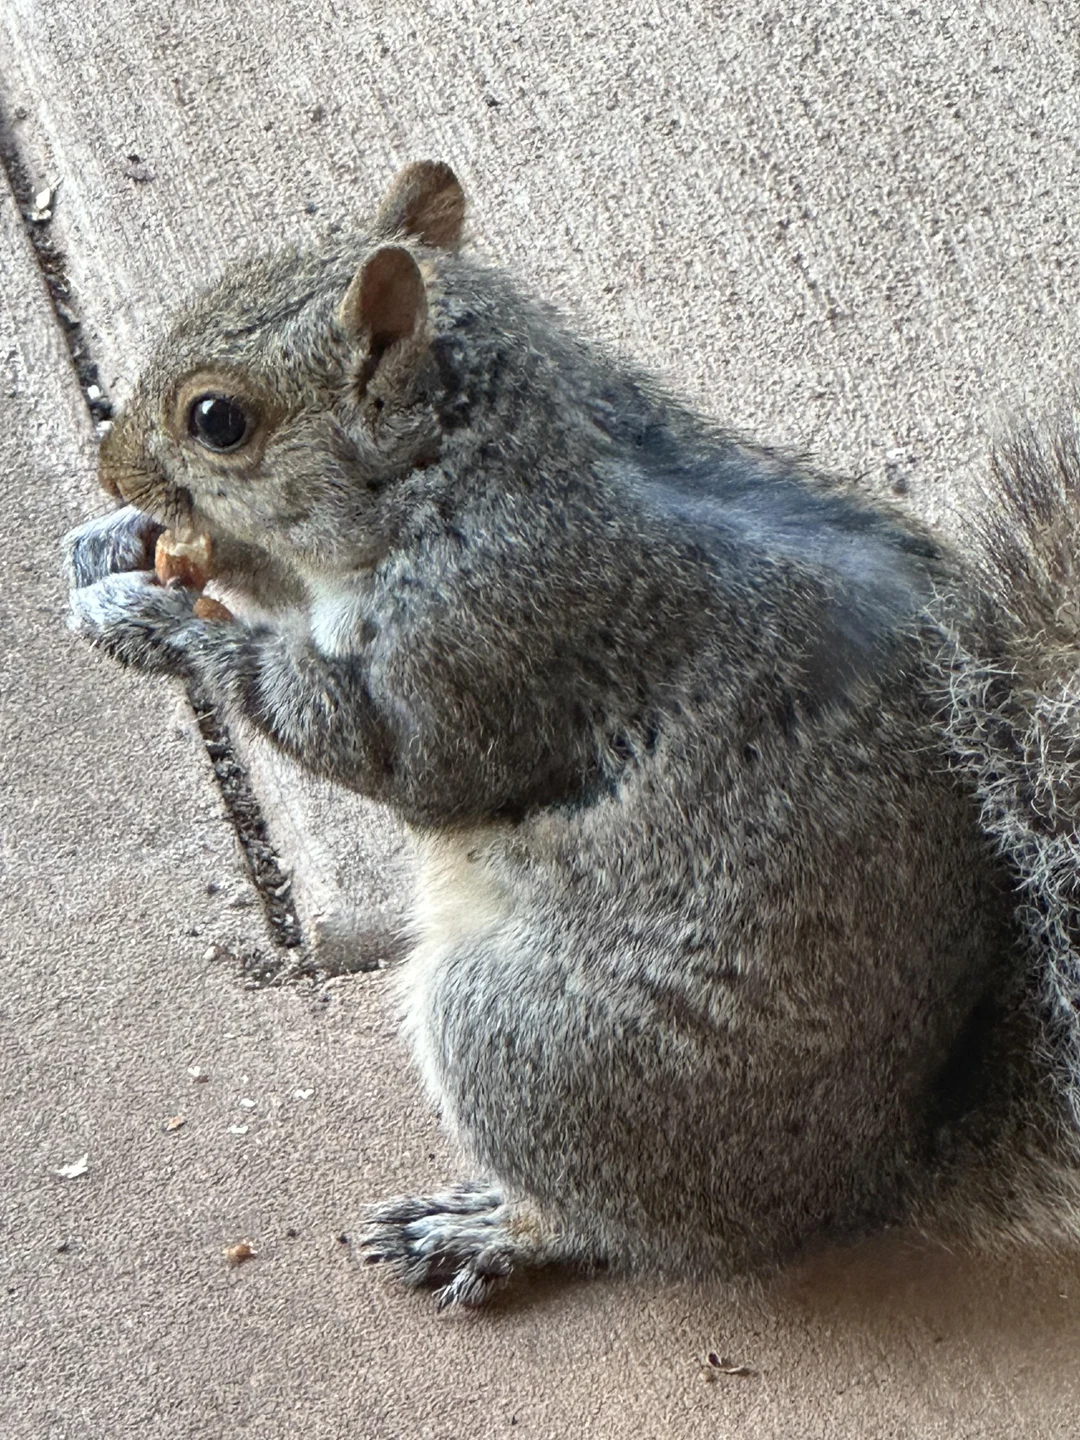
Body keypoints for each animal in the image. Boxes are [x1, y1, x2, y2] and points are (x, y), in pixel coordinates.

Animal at [65, 160, 1080, 1308]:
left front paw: (163, 626)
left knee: (607, 1222)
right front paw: (114, 544)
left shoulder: (493, 636)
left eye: (217, 419)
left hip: (531, 1043)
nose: (109, 470)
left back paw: (490, 1230)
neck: (476, 469)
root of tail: (868, 1178)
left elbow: (384, 750)